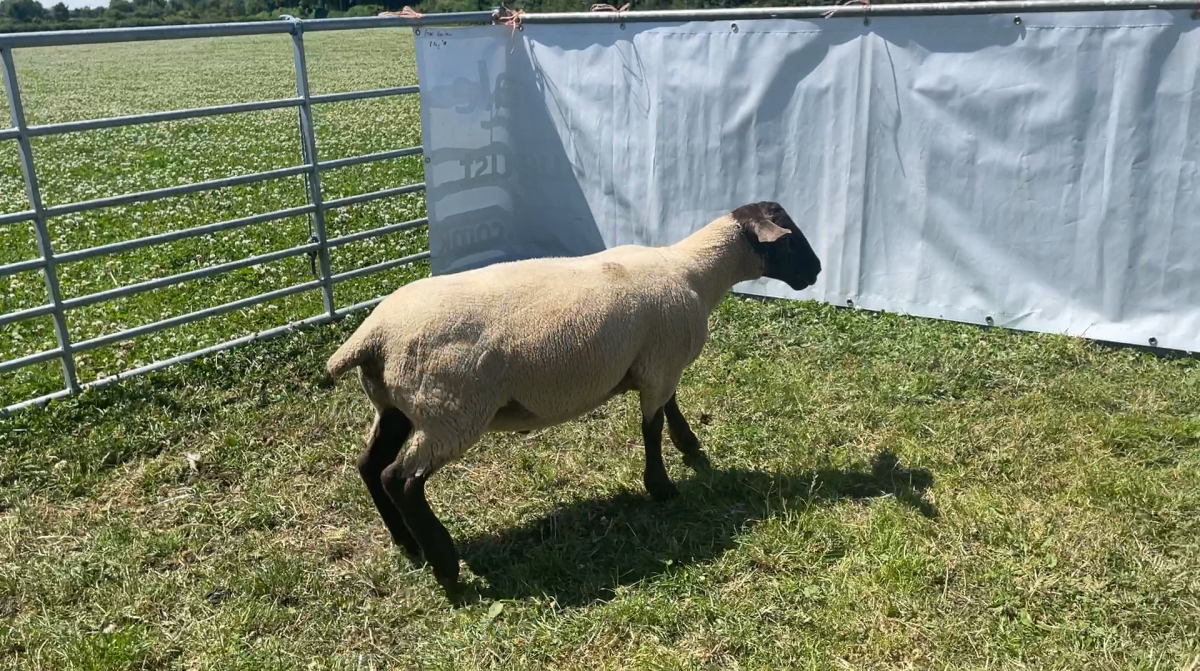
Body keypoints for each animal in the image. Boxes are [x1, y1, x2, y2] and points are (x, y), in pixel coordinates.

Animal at [325, 201, 822, 594]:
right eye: (790, 241)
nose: (816, 272)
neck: (695, 273)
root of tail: (372, 336)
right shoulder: (660, 365)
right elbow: (652, 427)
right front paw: (661, 487)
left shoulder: (657, 365)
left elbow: (670, 410)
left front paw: (691, 449)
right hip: (451, 409)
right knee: (400, 479)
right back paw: (444, 564)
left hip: (398, 405)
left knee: (369, 465)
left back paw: (407, 543)